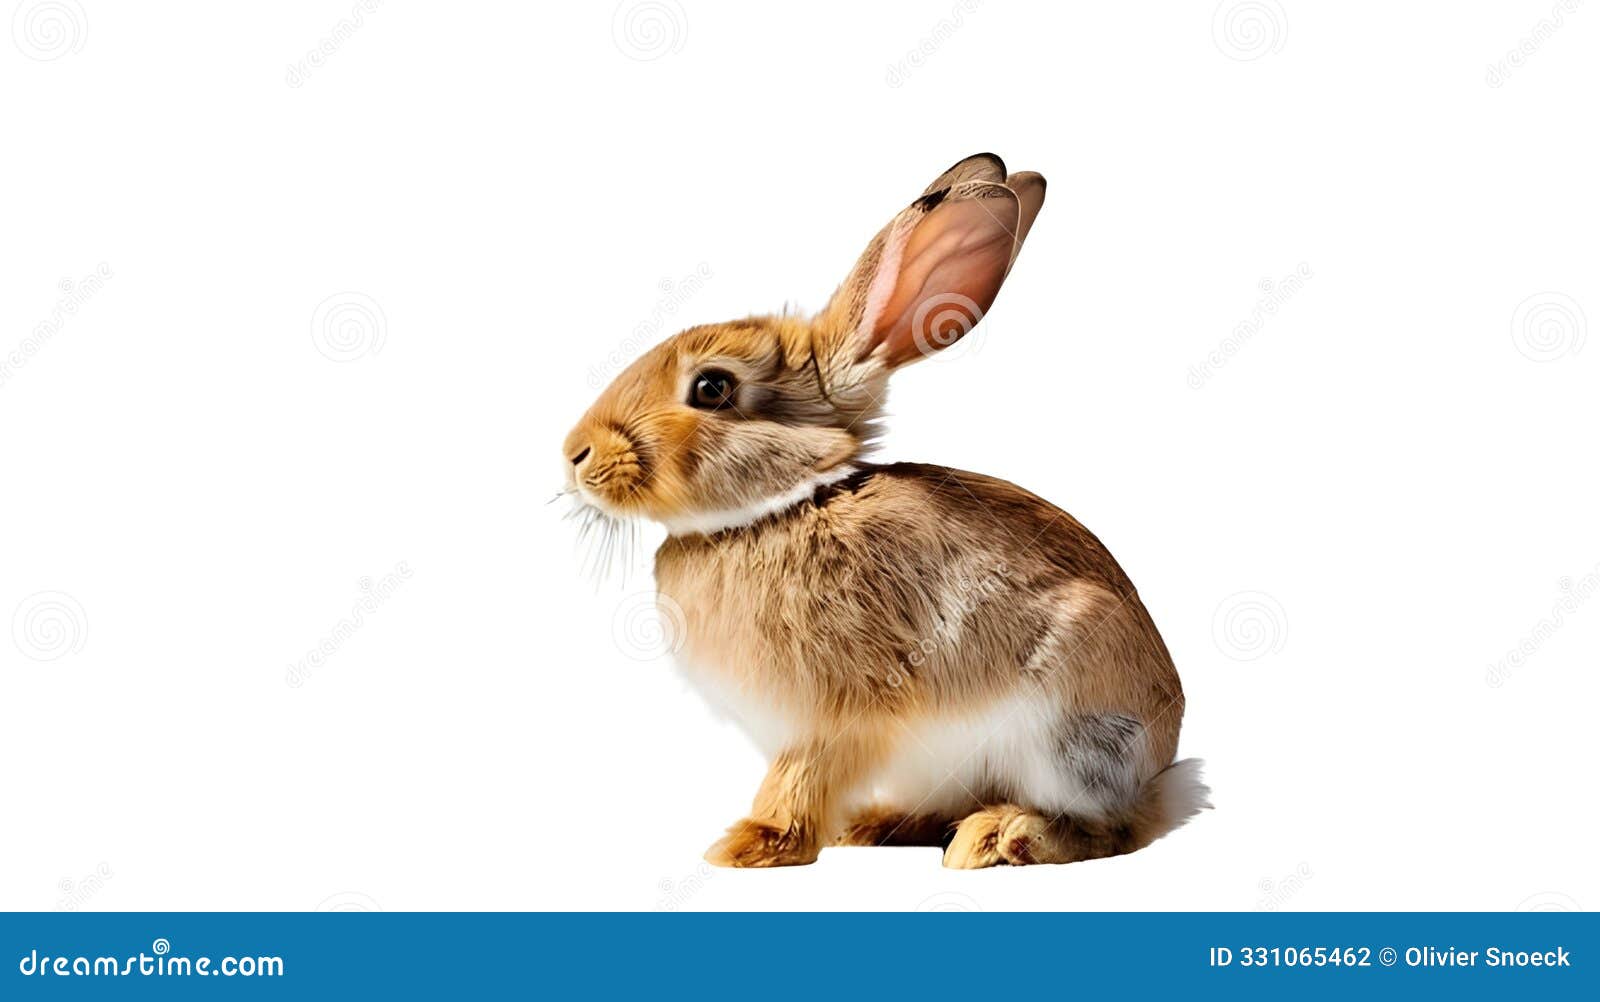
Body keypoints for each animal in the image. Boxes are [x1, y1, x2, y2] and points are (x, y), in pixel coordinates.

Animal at [563, 153, 1207, 868]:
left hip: (1066, 737)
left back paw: (1000, 836)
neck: (782, 509)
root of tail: (1162, 766)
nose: (574, 454)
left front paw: (751, 845)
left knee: (1115, 829)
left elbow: (798, 779)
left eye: (712, 387)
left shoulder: (834, 716)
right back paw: (882, 826)